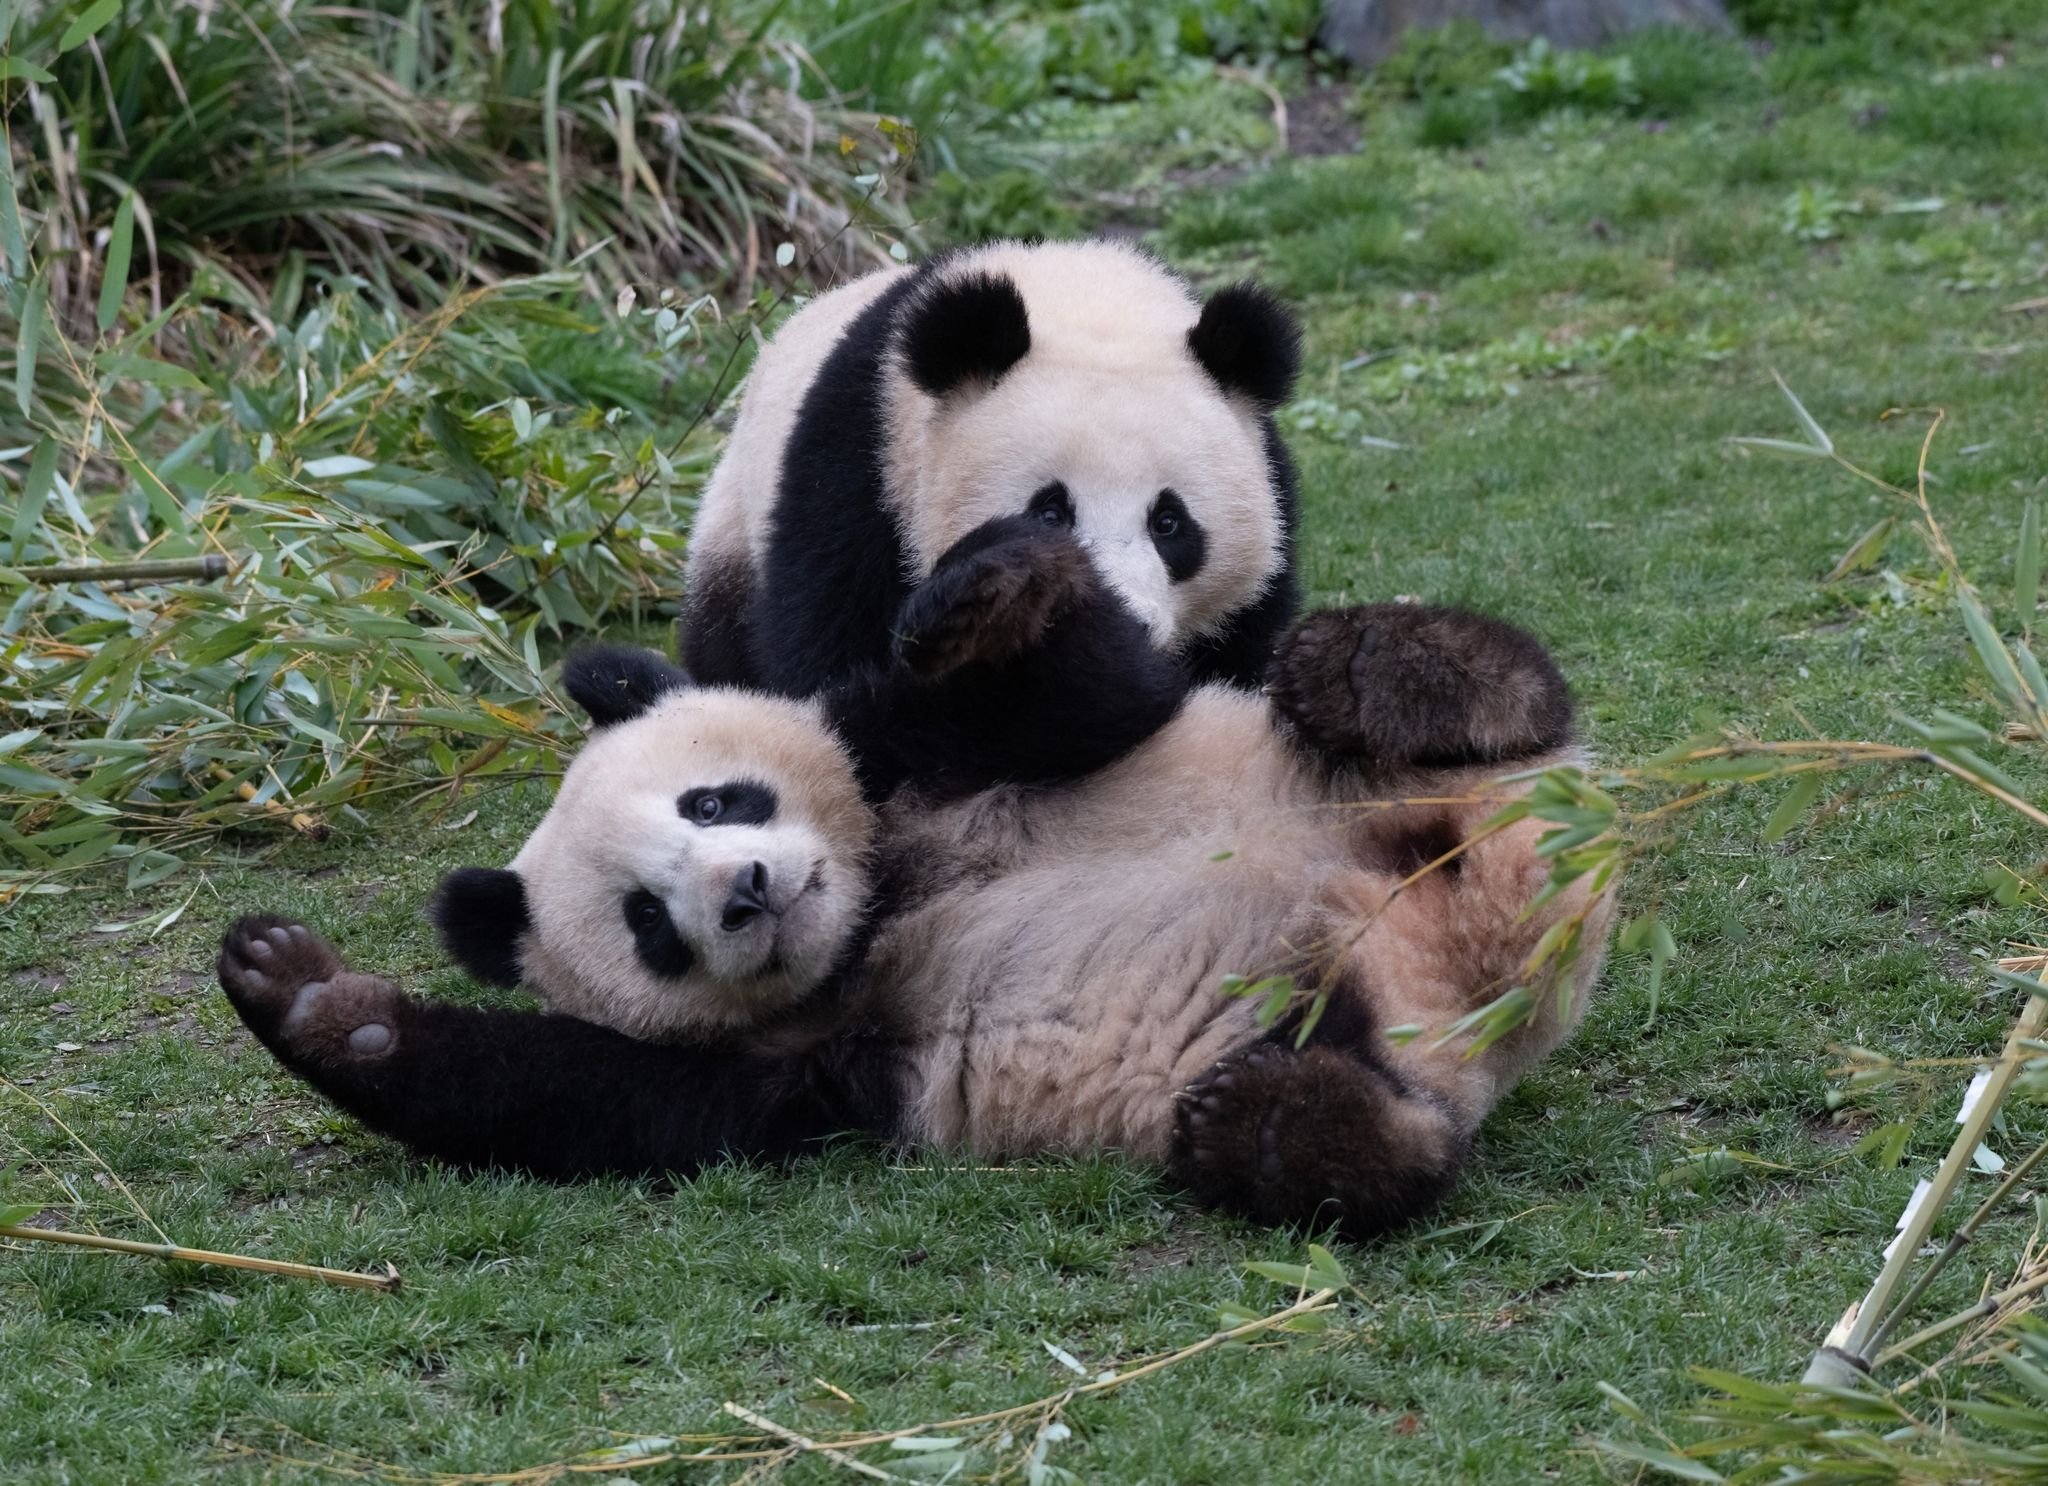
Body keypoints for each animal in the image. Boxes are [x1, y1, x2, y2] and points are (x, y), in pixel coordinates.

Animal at [217, 588, 1611, 1239]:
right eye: (648, 922)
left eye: (715, 799)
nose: (747, 891)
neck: (878, 902)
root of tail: (1487, 940)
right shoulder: (798, 1060)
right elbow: (606, 1101)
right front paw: (308, 993)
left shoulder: (913, 749)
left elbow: (1096, 688)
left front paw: (989, 597)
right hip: (1341, 1012)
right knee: (1393, 1134)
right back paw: (1284, 1126)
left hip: (1429, 785)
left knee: (1494, 697)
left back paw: (1378, 671)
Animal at [682, 239, 1305, 697]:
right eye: (1050, 513)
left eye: (1169, 523)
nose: (1125, 624)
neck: (1083, 303)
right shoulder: (861, 474)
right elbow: (831, 647)